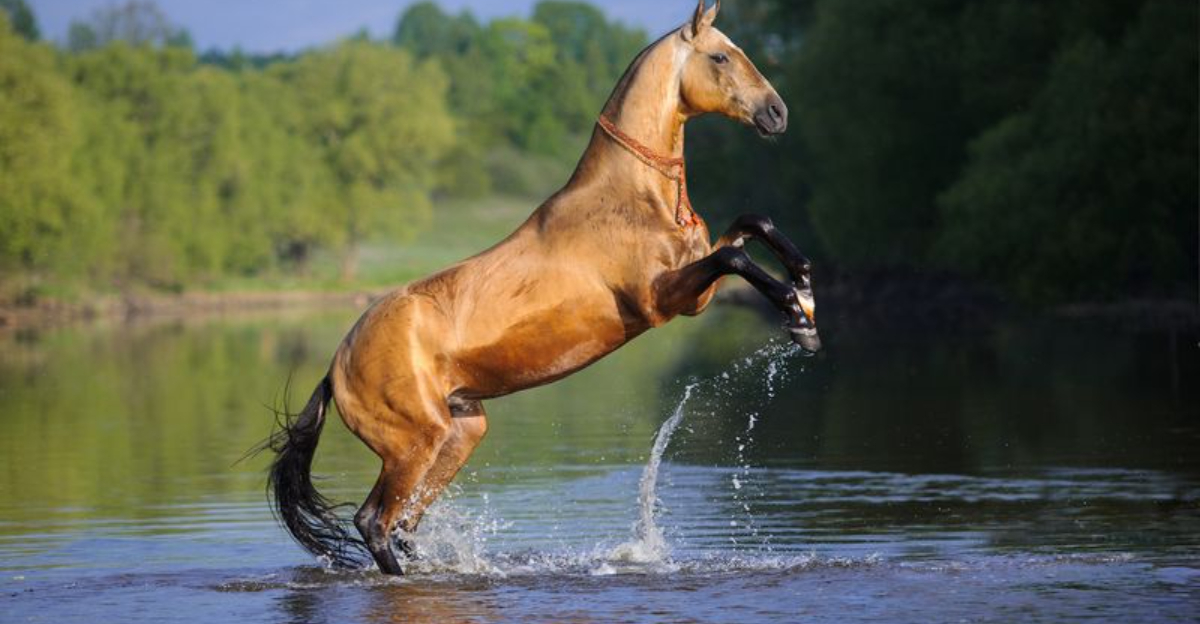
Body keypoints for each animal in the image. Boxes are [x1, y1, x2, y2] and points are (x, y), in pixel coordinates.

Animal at [264, 0, 820, 575]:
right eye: (720, 56)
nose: (777, 112)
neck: (630, 196)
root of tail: (335, 370)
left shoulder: (696, 288)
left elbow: (753, 223)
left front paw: (804, 288)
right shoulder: (664, 300)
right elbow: (735, 254)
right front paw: (800, 319)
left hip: (460, 432)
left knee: (403, 526)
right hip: (412, 443)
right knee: (374, 522)